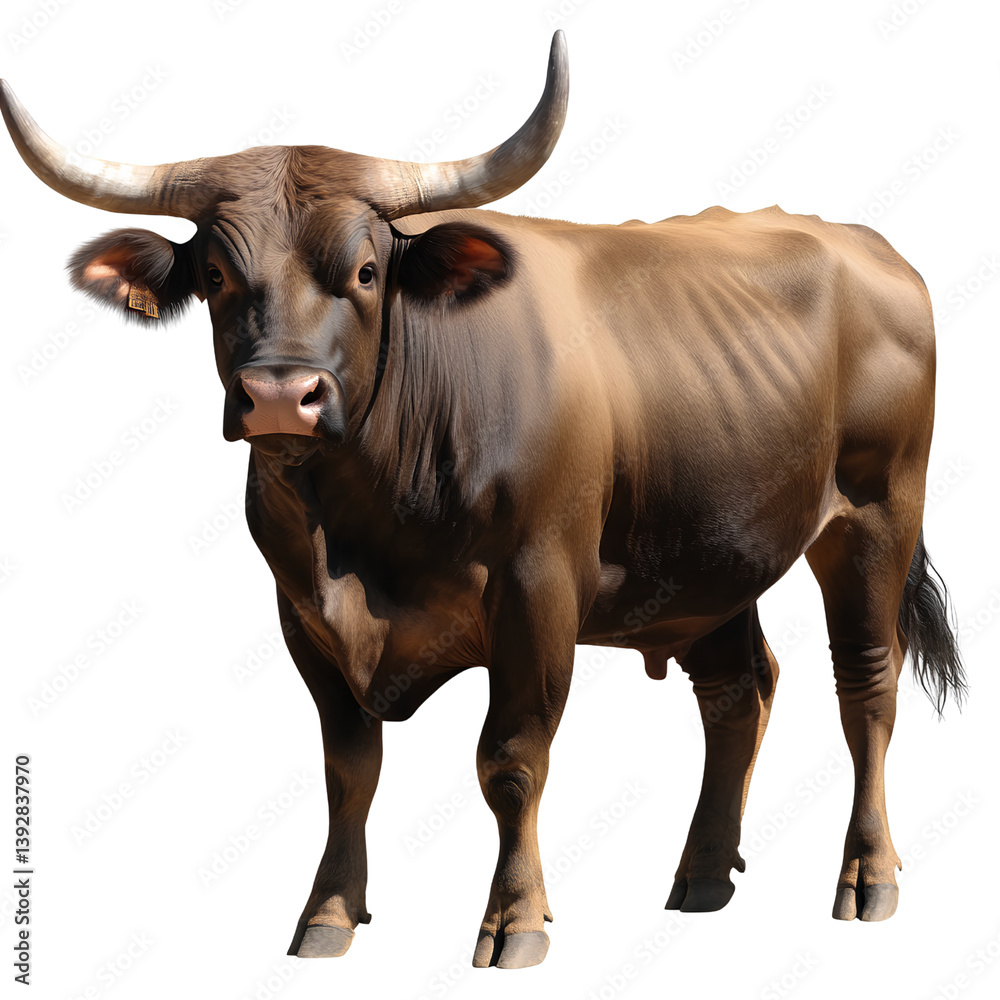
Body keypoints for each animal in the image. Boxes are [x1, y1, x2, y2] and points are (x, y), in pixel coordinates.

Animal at [1, 30, 965, 970]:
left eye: (364, 272)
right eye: (213, 279)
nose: (280, 395)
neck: (357, 528)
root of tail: (865, 246)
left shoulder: (537, 592)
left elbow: (510, 759)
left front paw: (515, 921)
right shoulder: (300, 612)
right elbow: (349, 768)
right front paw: (328, 914)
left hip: (876, 515)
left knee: (867, 687)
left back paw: (868, 877)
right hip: (709, 551)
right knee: (738, 691)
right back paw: (699, 877)